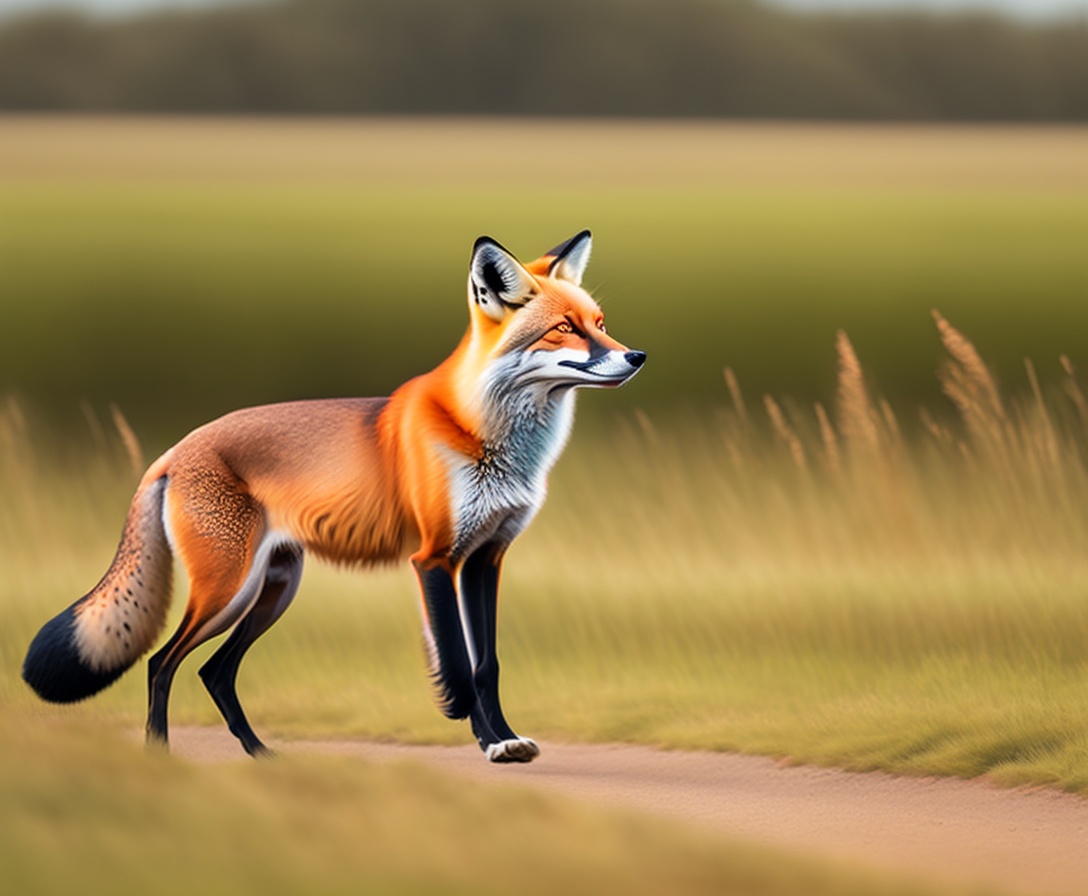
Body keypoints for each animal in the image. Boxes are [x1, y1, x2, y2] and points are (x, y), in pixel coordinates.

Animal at [22, 230, 645, 763]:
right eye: (564, 329)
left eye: (600, 323)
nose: (636, 356)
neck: (487, 438)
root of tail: (174, 450)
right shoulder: (434, 558)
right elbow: (458, 664)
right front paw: (483, 738)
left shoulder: (486, 558)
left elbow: (487, 664)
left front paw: (505, 738)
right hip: (228, 589)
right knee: (161, 663)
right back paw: (160, 757)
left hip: (273, 590)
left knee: (214, 673)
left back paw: (261, 755)